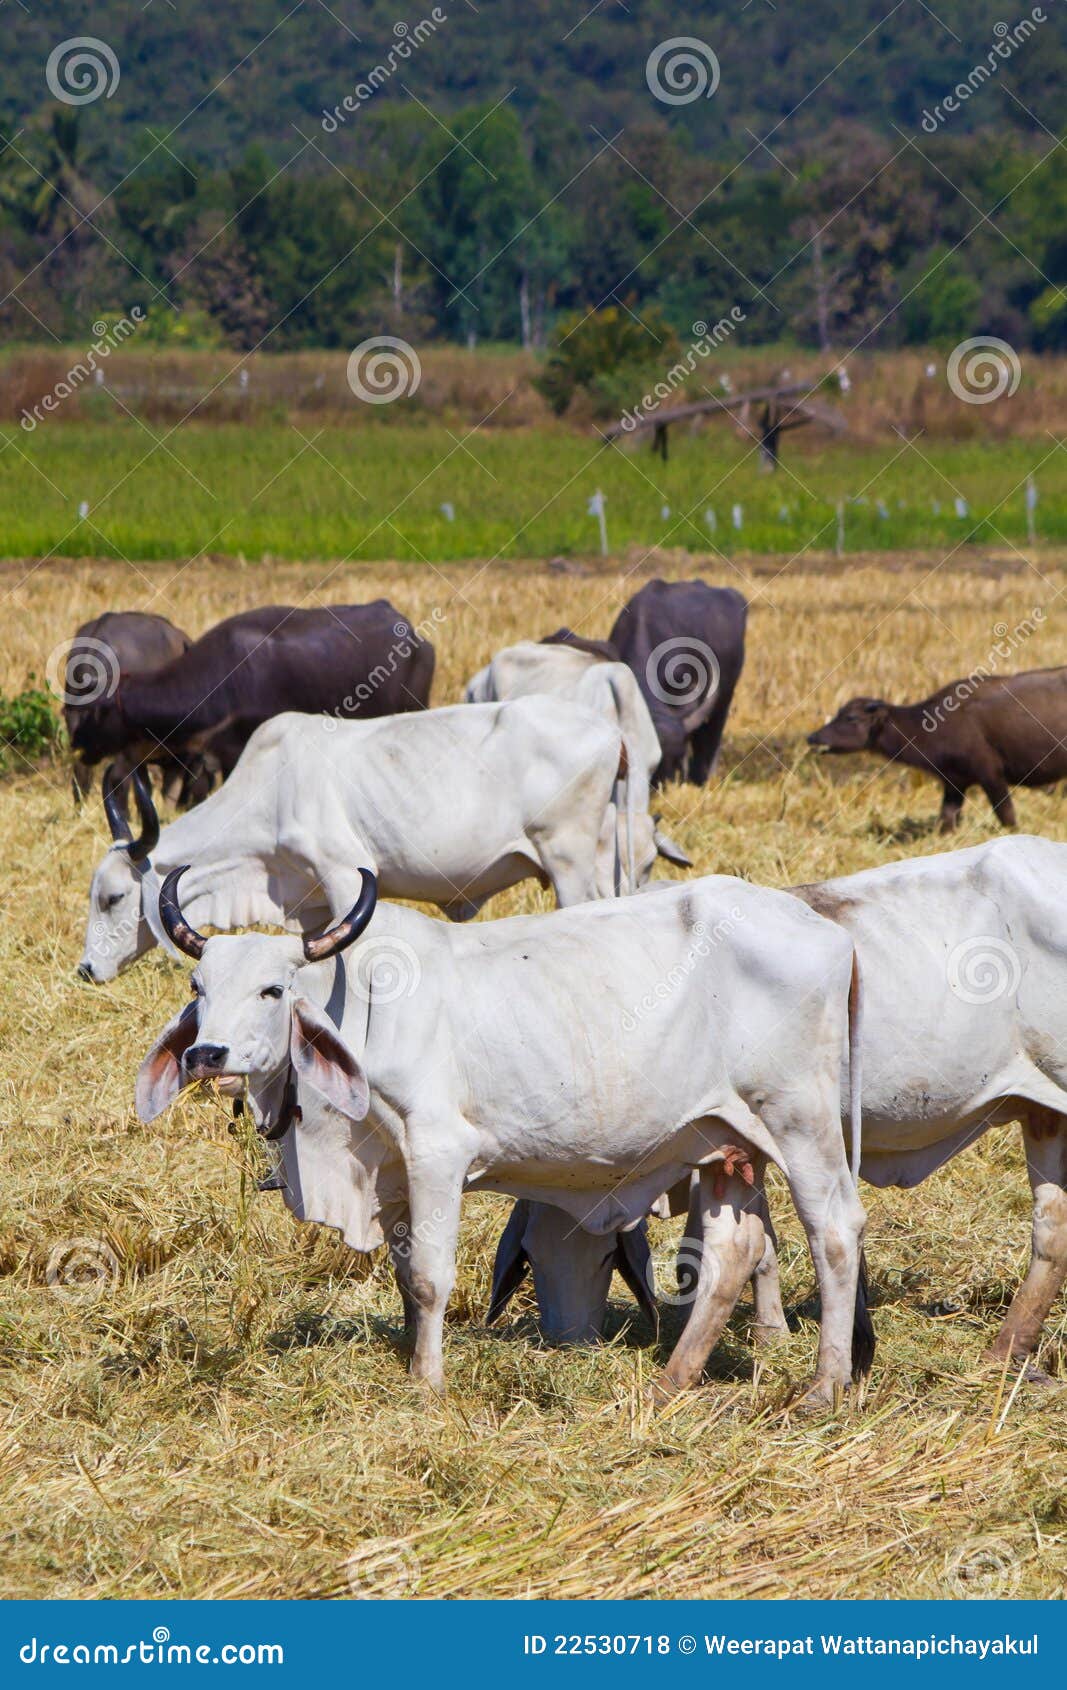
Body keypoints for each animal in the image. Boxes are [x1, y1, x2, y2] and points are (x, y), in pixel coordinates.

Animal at [78, 696, 656, 983]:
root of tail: (612, 732)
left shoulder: (343, 876)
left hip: (569, 861)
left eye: (113, 898)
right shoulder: (308, 904)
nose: (86, 970)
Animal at [137, 865, 870, 1403]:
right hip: (722, 1138)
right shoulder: (392, 1172)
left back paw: (823, 1387)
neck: (361, 1005)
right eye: (198, 984)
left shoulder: (436, 1151)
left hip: (798, 1122)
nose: (207, 1054)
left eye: (271, 989)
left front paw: (428, 1383)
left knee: (833, 1231)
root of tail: (832, 938)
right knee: (733, 1249)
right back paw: (671, 1381)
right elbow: (404, 1275)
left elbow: (430, 1276)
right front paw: (411, 1356)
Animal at [494, 838, 1067, 1378]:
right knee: (1051, 1228)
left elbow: (745, 1247)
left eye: (605, 1258)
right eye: (530, 1257)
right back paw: (1008, 1347)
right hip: (1047, 1116)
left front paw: (769, 1333)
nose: (569, 1343)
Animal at [807, 666, 1067, 831]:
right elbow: (946, 818)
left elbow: (1006, 813)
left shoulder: (991, 774)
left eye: (850, 718)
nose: (812, 737)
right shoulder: (954, 782)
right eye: (839, 712)